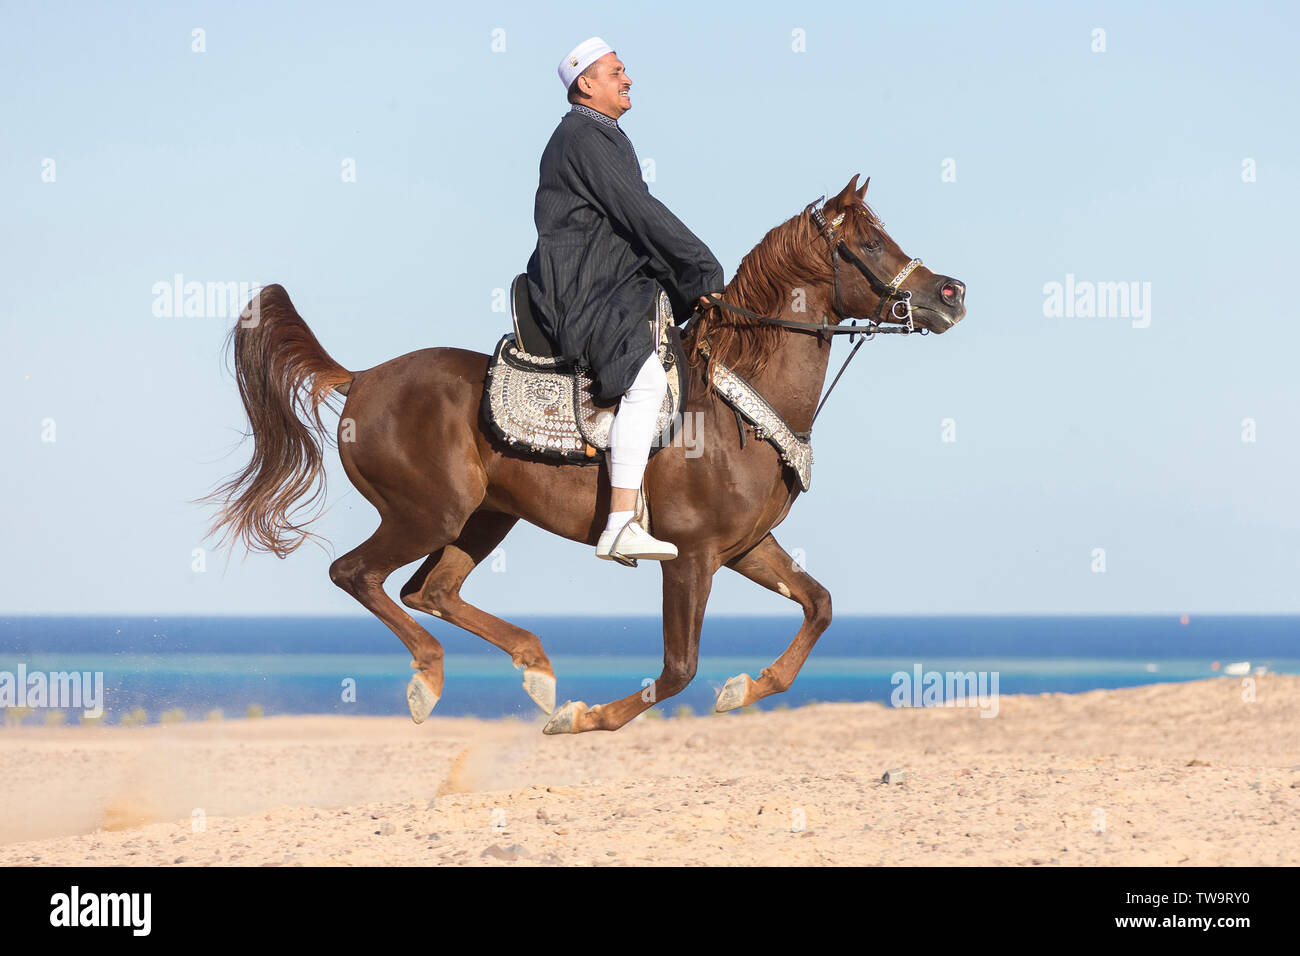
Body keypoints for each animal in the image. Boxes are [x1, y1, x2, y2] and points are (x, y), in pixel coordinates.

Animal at [205, 174, 967, 734]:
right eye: (868, 243)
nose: (951, 293)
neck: (734, 406)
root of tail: (361, 377)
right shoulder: (690, 557)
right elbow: (679, 668)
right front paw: (584, 718)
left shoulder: (748, 547)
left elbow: (819, 605)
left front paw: (745, 688)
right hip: (428, 514)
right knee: (357, 574)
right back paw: (432, 678)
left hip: (484, 518)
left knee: (431, 591)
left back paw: (535, 668)